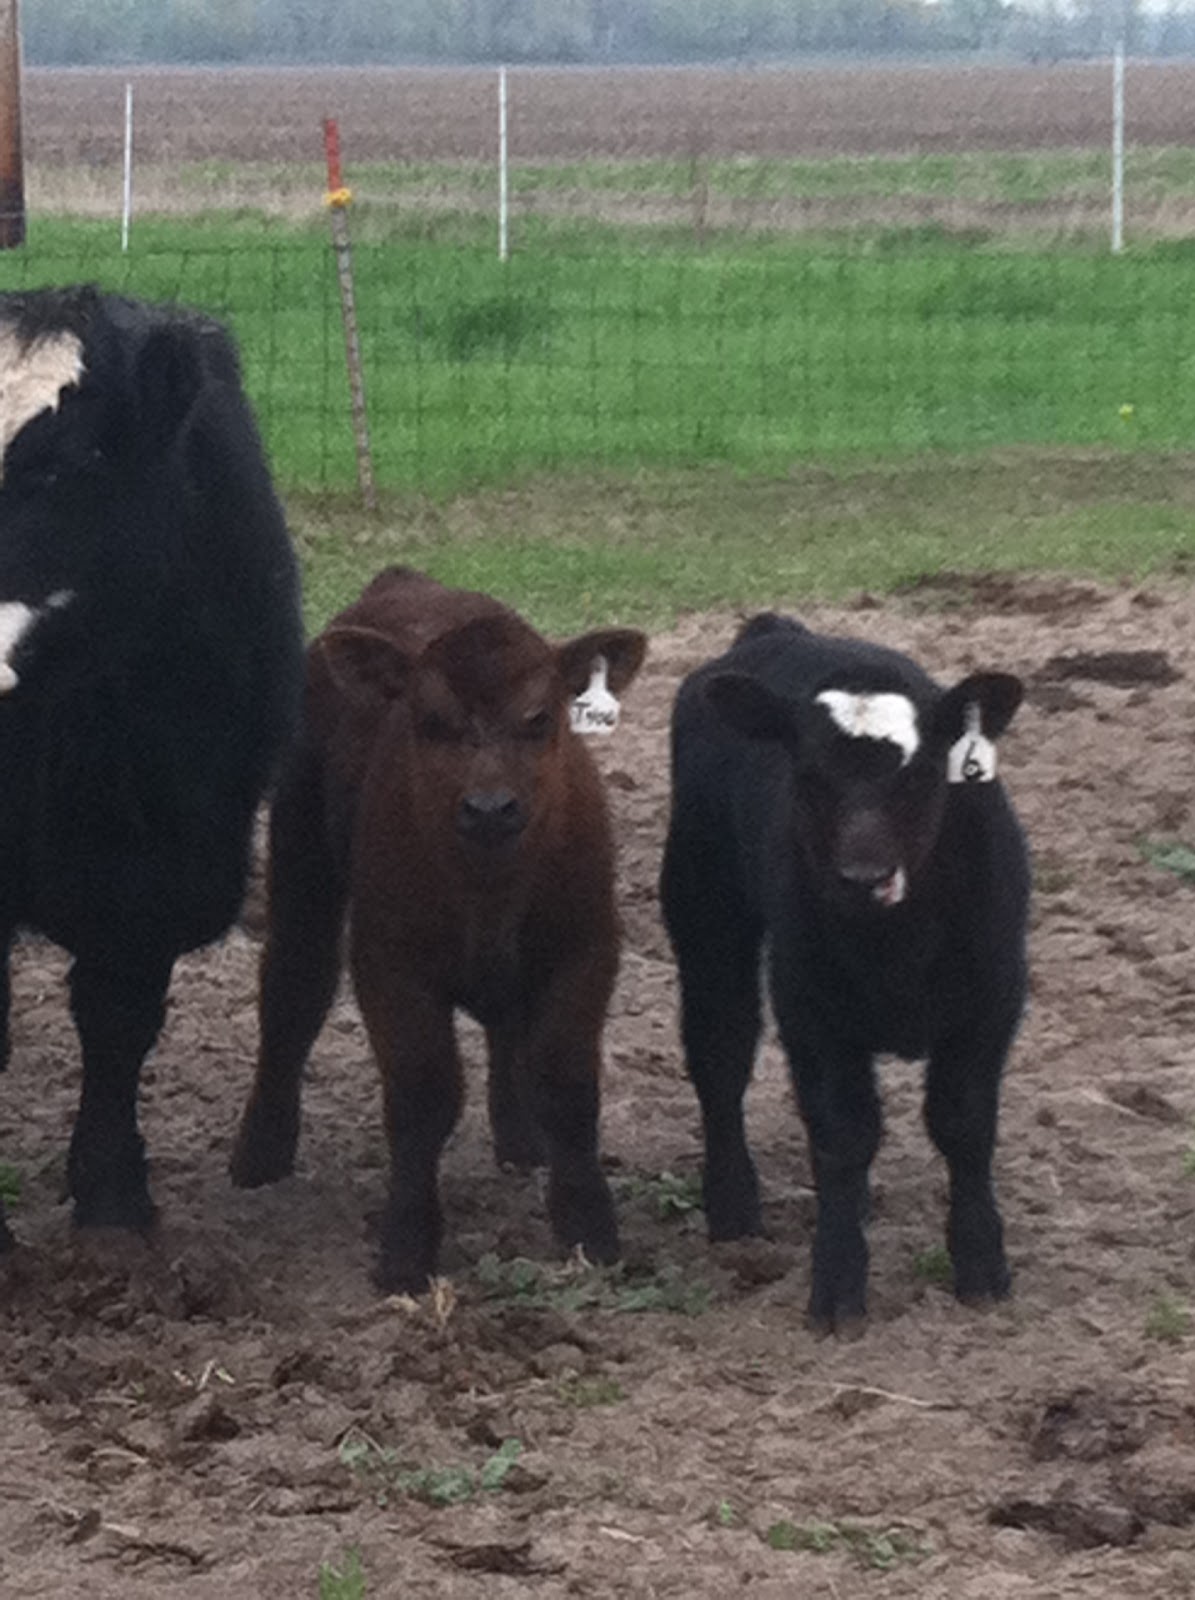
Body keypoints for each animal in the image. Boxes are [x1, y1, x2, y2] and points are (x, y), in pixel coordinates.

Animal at [229, 566, 647, 1293]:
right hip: (300, 852)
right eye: (429, 721)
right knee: (292, 989)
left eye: (540, 718)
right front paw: (406, 1247)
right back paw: (261, 1152)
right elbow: (422, 1097)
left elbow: (566, 1085)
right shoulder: (389, 963)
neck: (488, 889)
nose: (489, 808)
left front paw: (589, 1229)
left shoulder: (586, 947)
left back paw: (522, 1141)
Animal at [660, 613, 1029, 1333]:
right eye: (807, 776)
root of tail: (776, 630)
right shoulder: (810, 1011)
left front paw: (981, 1267)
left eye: (920, 775)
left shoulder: (992, 999)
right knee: (719, 1056)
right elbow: (842, 1136)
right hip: (703, 914)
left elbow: (964, 1125)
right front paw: (836, 1286)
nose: (862, 878)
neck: (897, 947)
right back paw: (733, 1209)